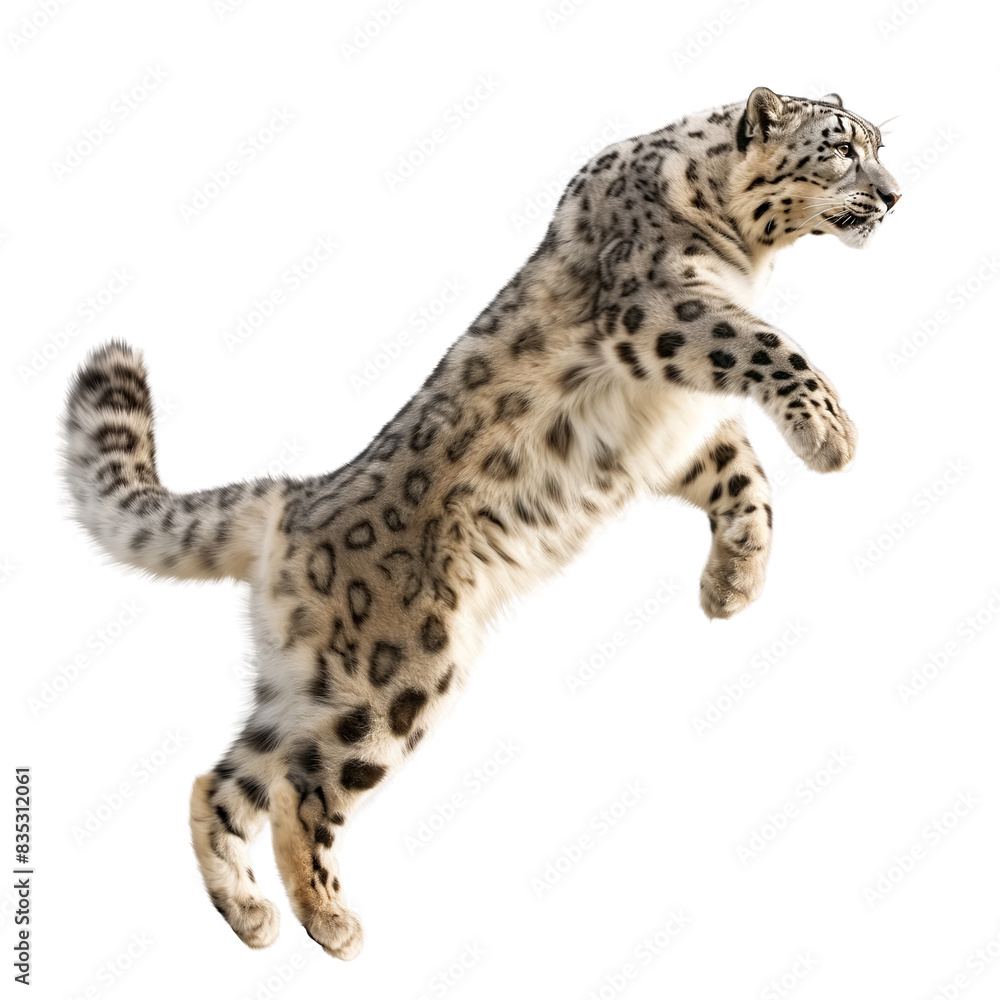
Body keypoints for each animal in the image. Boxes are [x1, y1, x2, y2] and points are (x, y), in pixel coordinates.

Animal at [61, 87, 900, 960]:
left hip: (298, 682)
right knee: (304, 785)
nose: (896, 195)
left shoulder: (676, 424)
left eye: (878, 145)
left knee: (222, 780)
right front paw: (832, 438)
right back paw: (332, 923)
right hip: (396, 673)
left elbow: (744, 474)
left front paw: (732, 584)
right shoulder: (664, 306)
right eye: (842, 148)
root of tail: (296, 501)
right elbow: (774, 349)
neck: (745, 250)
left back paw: (251, 915)